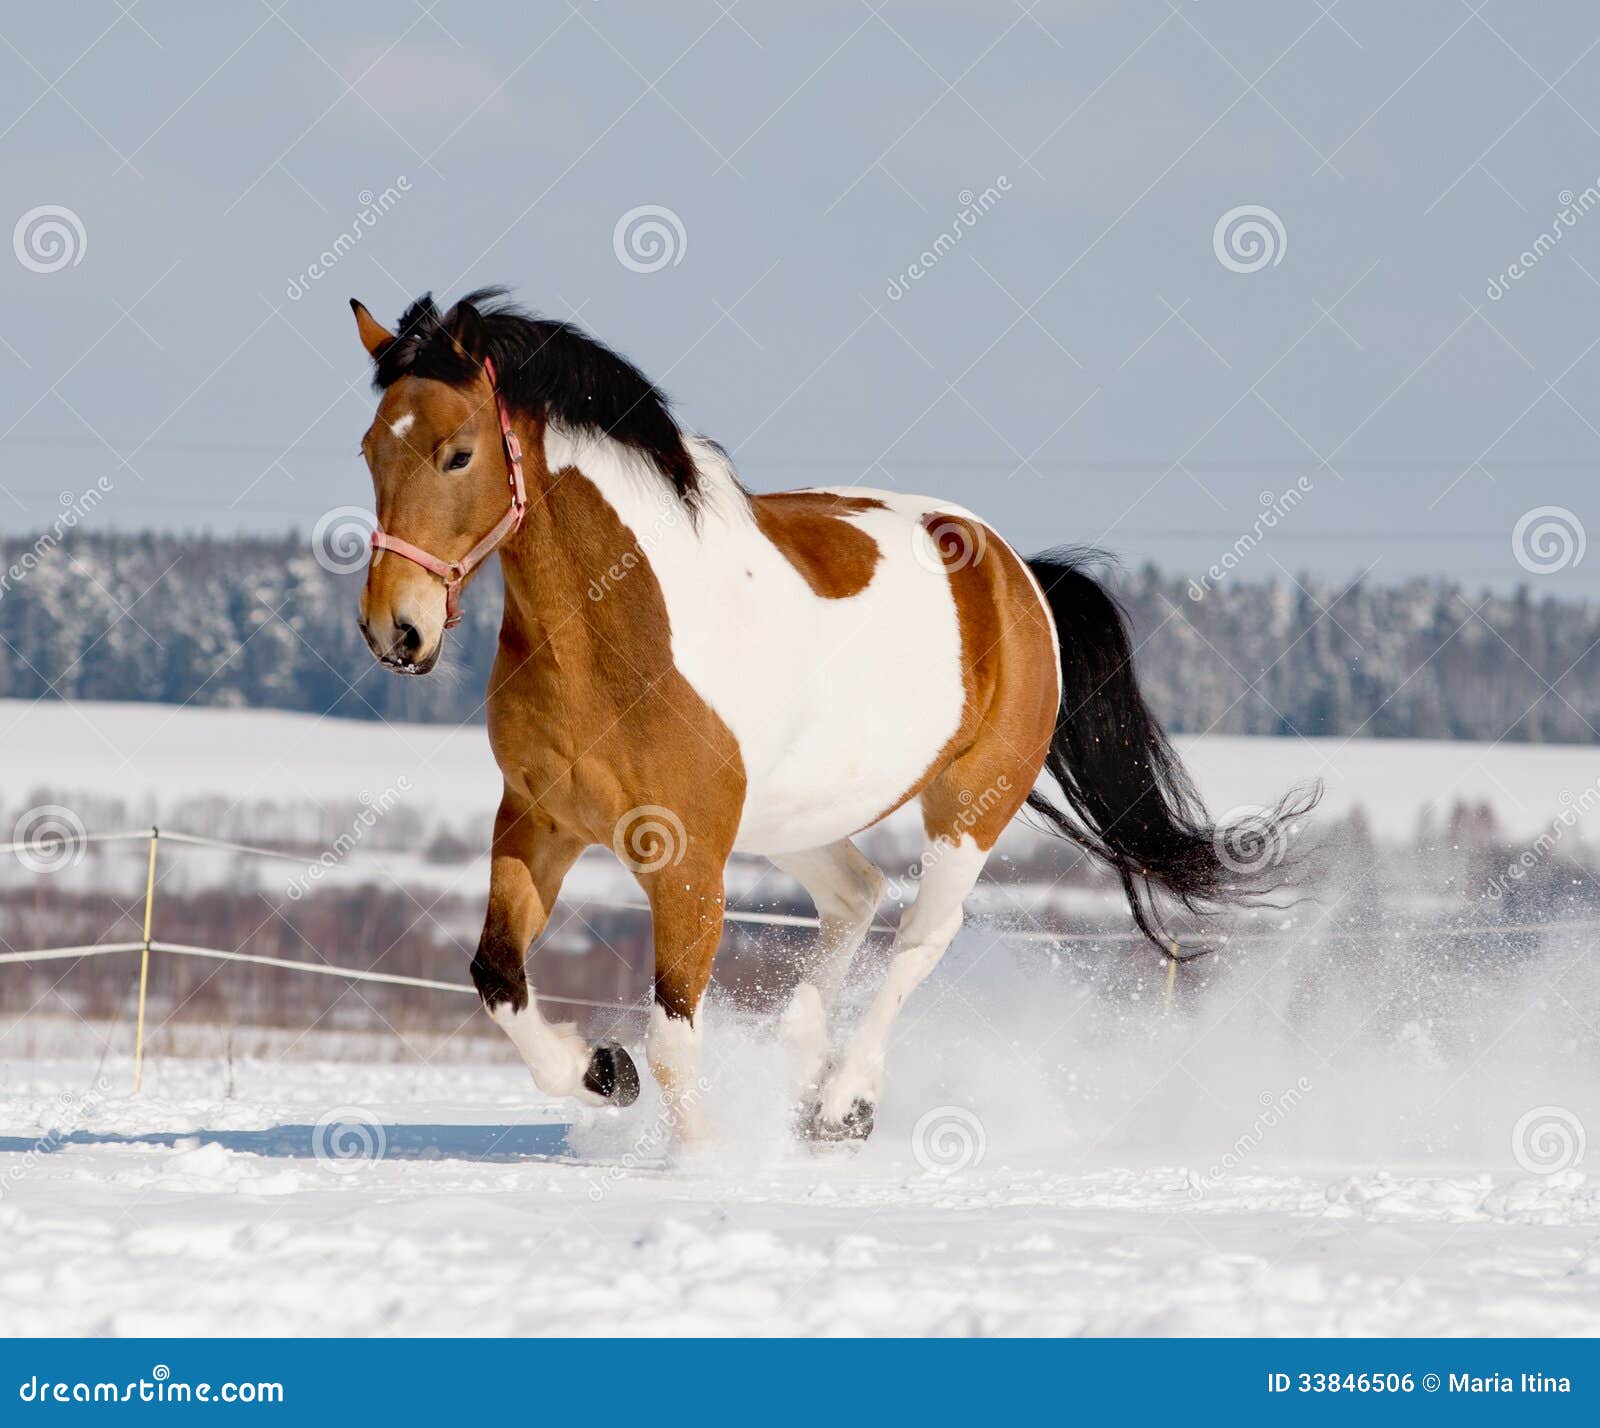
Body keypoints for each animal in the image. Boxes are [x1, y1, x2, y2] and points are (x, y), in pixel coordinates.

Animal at [349, 288, 1309, 1142]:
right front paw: (600, 1070)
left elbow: (674, 1042)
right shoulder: (537, 820)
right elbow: (498, 979)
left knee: (920, 933)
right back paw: (805, 1063)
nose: (395, 629)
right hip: (793, 818)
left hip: (969, 807)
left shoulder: (686, 857)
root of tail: (1019, 575)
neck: (618, 629)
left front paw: (700, 1163)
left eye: (457, 454)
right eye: (368, 451)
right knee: (856, 896)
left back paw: (844, 1100)